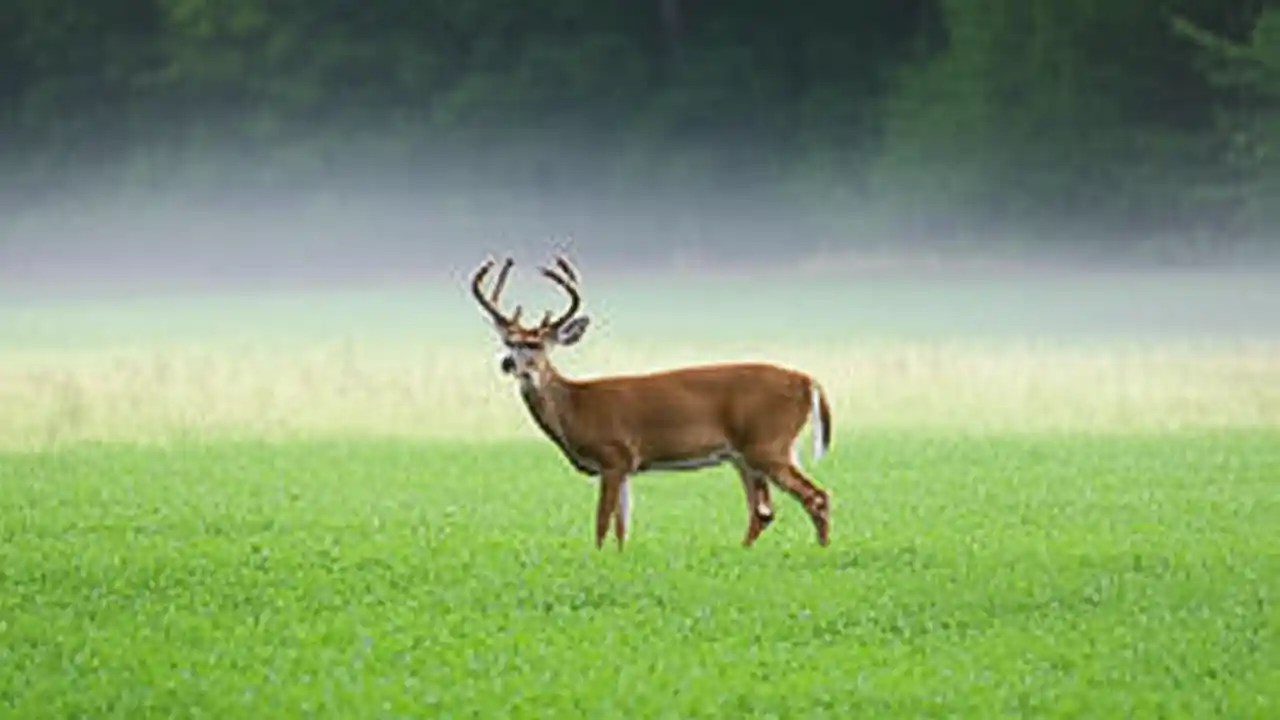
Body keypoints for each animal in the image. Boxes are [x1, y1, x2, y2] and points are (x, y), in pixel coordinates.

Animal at [470, 255, 833, 550]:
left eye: (540, 346)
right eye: (510, 343)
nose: (515, 366)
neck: (574, 405)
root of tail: (808, 381)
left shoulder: (613, 455)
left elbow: (602, 525)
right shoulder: (626, 467)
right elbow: (622, 529)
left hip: (768, 443)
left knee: (816, 496)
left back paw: (822, 549)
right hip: (745, 455)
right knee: (763, 511)